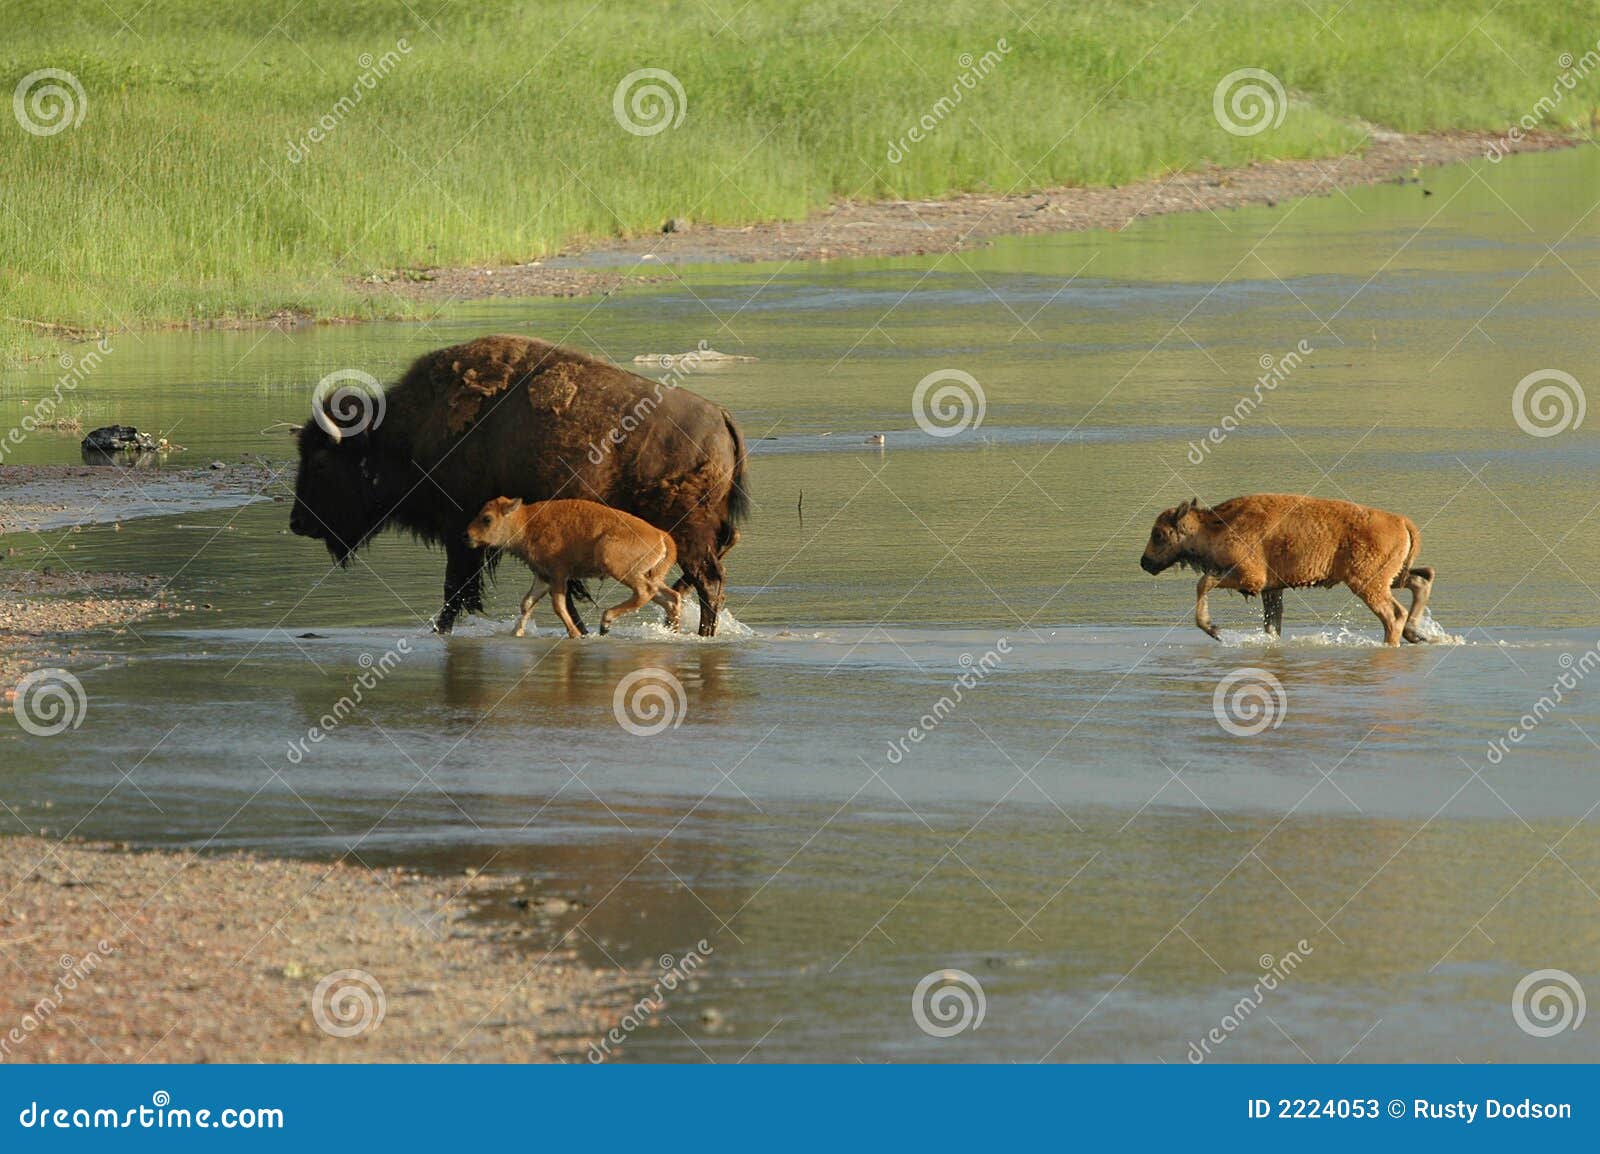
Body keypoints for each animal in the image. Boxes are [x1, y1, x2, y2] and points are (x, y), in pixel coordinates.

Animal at [289, 334, 748, 635]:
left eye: (322, 462)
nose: (297, 523)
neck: (408, 432)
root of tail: (721, 416)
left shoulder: (461, 532)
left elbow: (455, 590)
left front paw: (440, 632)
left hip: (688, 535)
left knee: (708, 584)